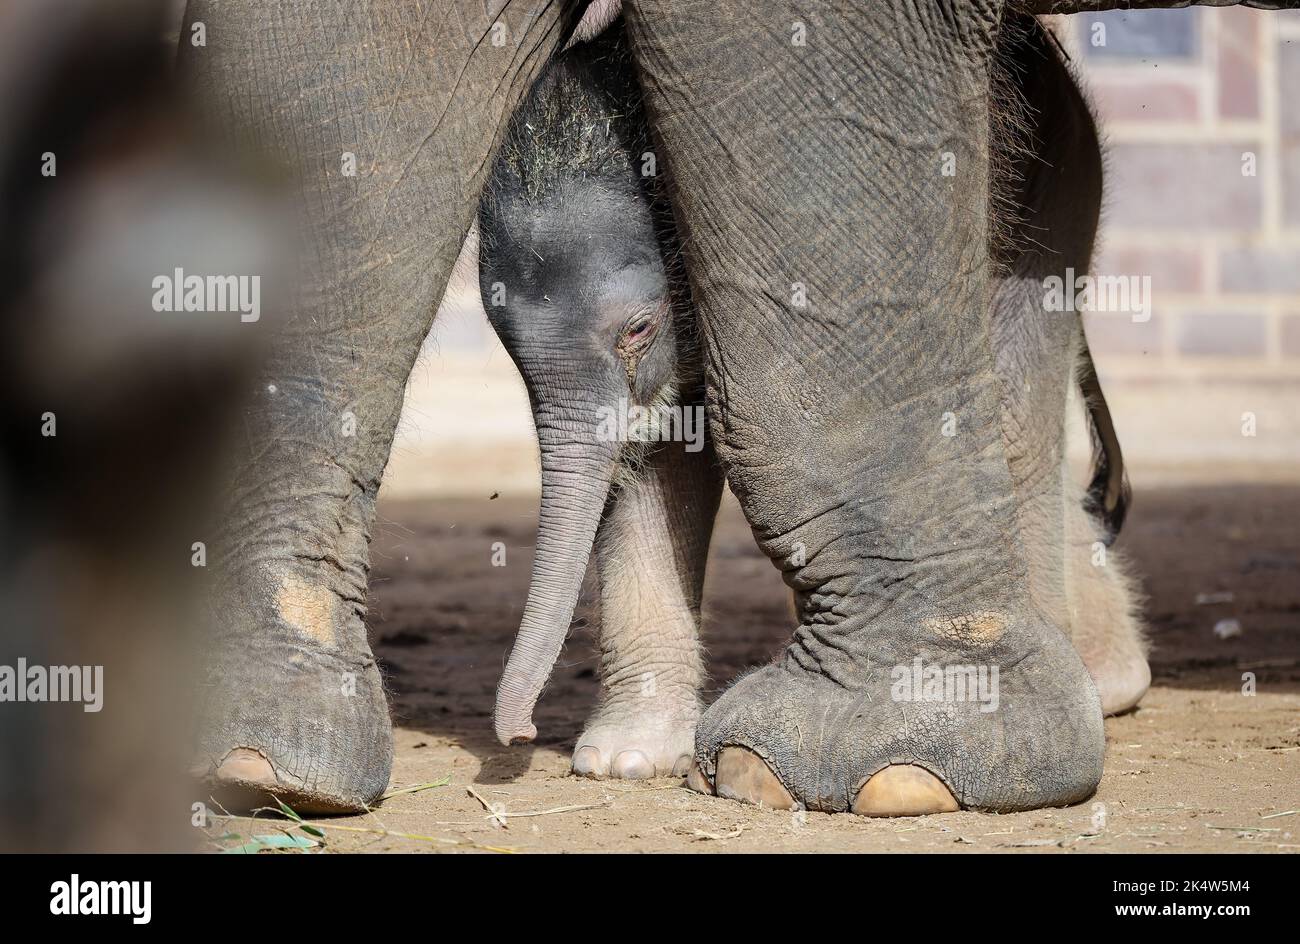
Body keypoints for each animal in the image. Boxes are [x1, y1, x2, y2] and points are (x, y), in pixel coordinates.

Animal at [185, 0, 1291, 817]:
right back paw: (1102, 680)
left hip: (1058, 199)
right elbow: (651, 467)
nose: (516, 736)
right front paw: (622, 762)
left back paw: (1086, 681)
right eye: (503, 344)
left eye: (635, 329)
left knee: (1020, 374)